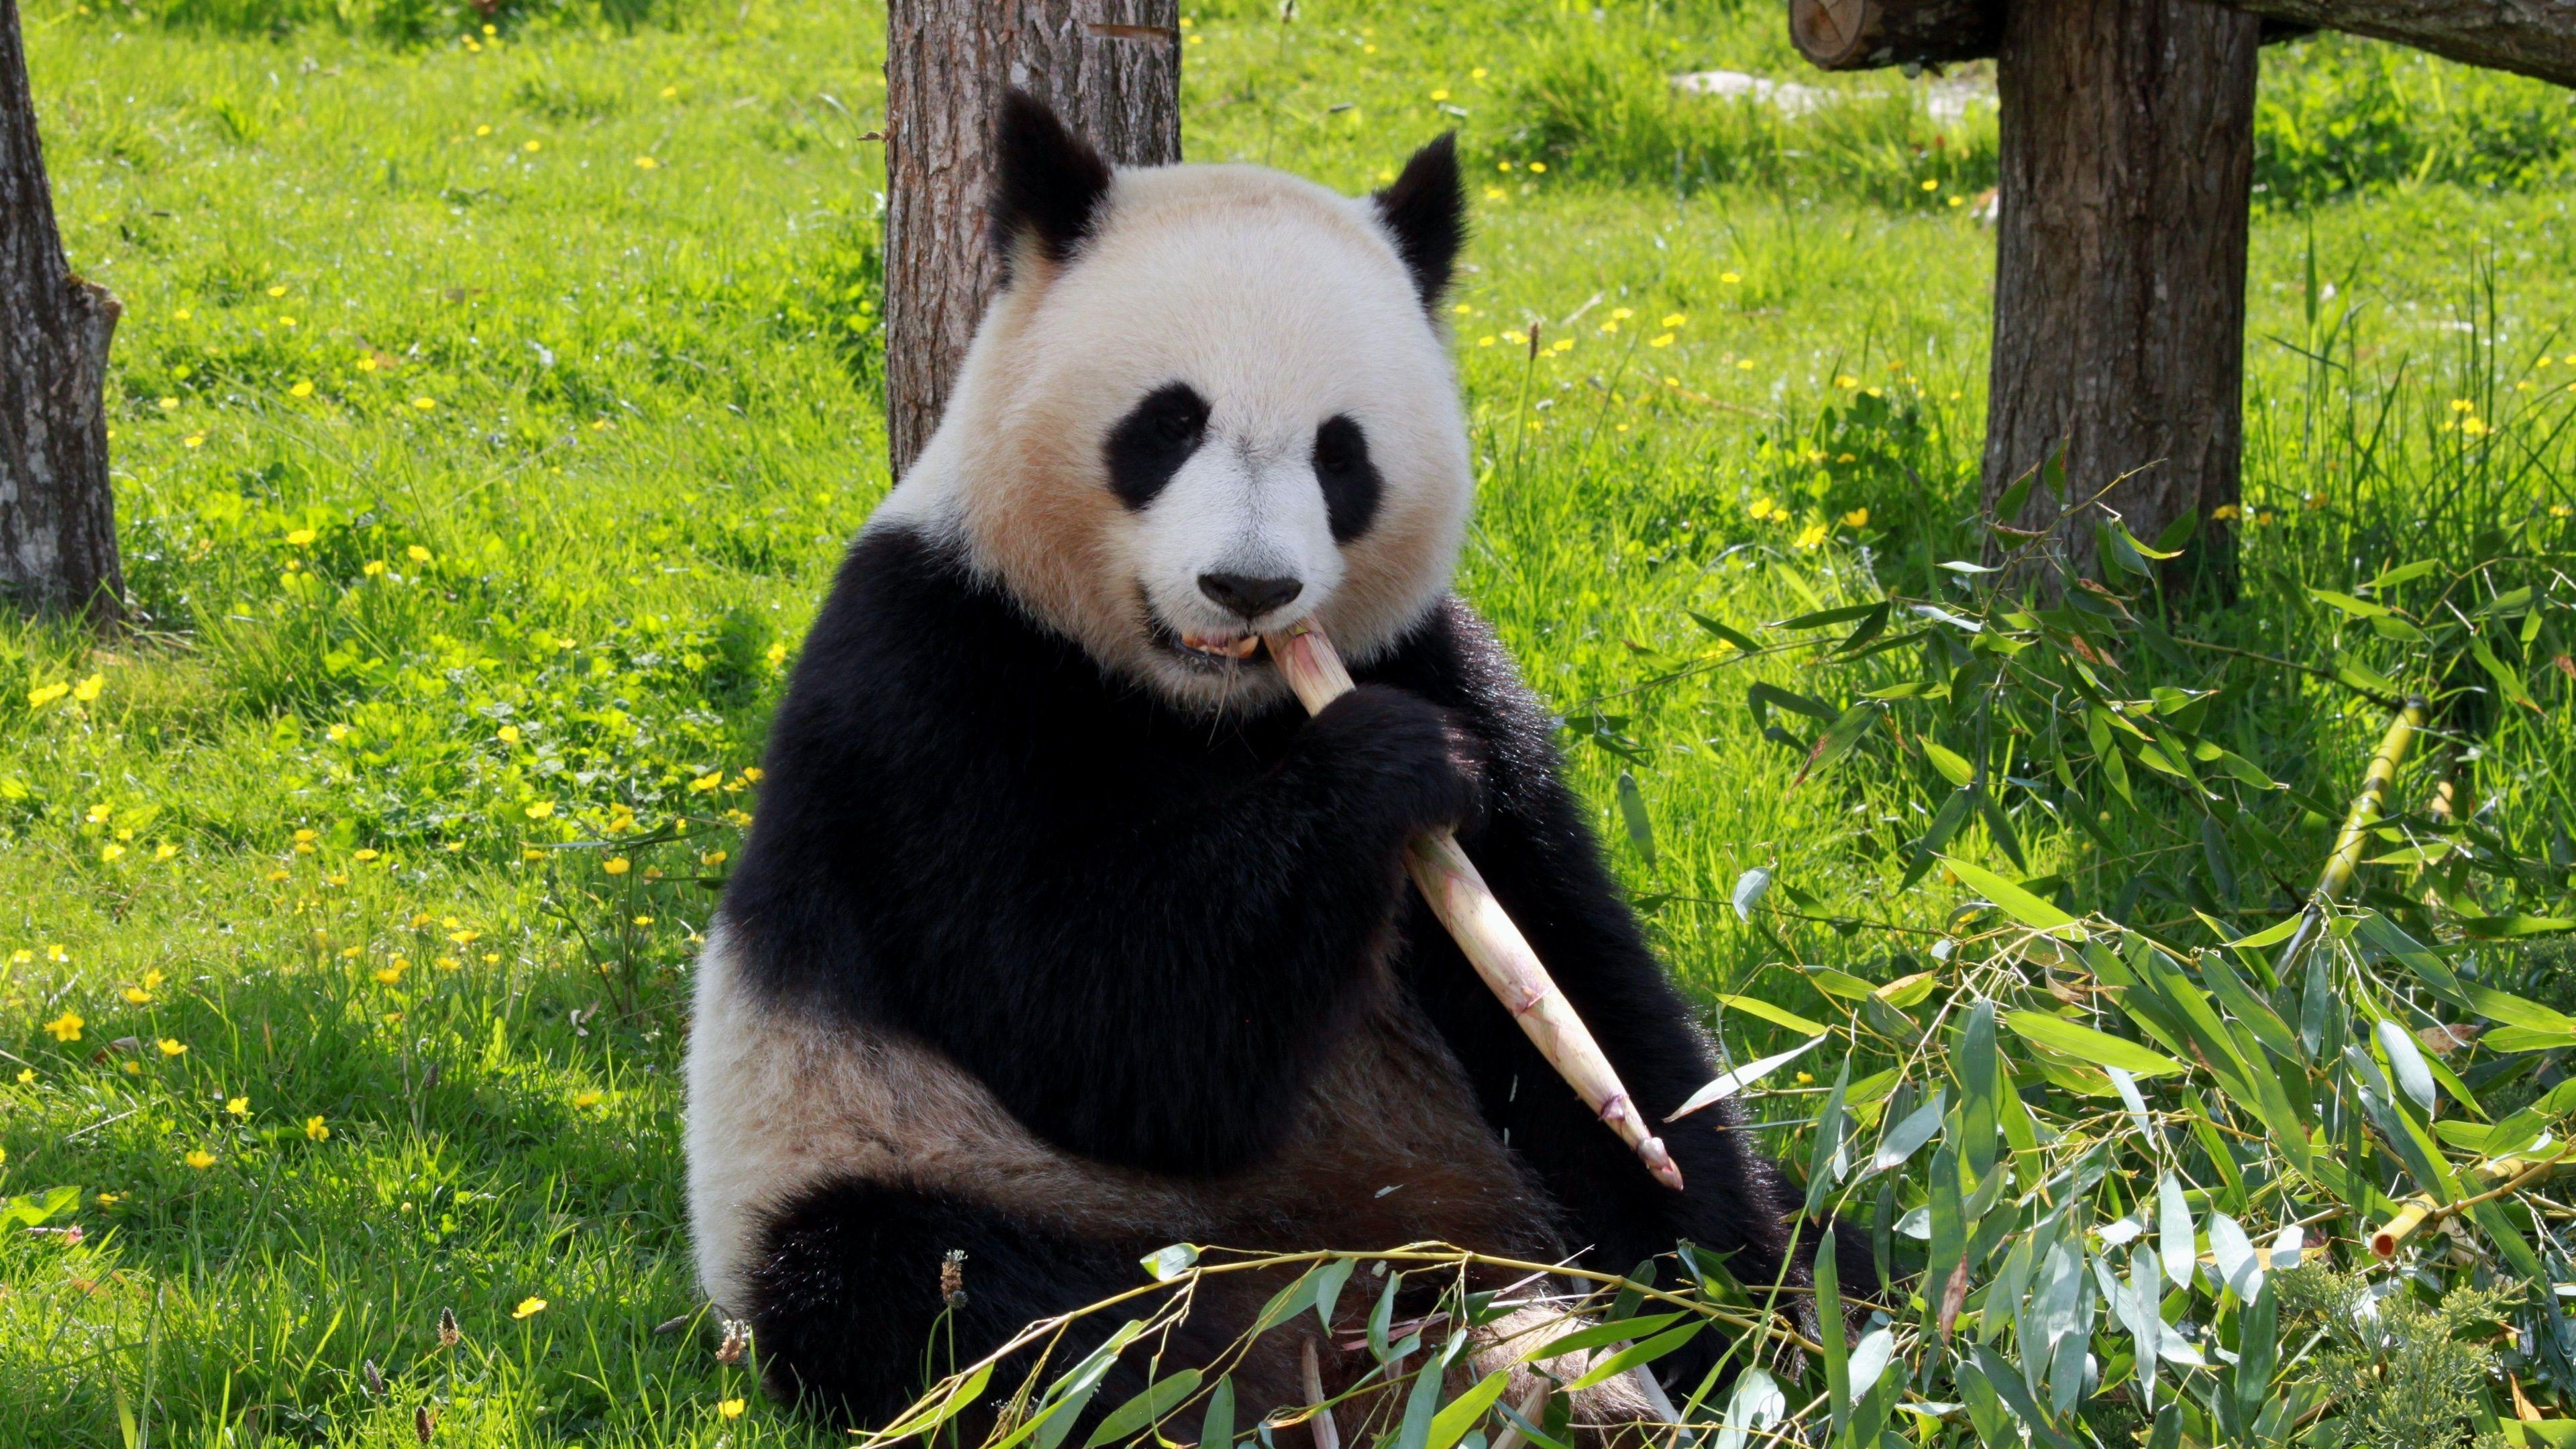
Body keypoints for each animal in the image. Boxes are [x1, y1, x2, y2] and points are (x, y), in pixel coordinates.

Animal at [685, 92, 1871, 1433]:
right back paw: (1250, 1384)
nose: (1248, 587)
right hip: (895, 1159)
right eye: (1167, 424)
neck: (1209, 706)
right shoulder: (934, 678)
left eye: (1340, 453)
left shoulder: (1439, 659)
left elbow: (1582, 1004)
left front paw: (1736, 1304)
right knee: (960, 1307)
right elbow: (1103, 1024)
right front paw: (1381, 769)